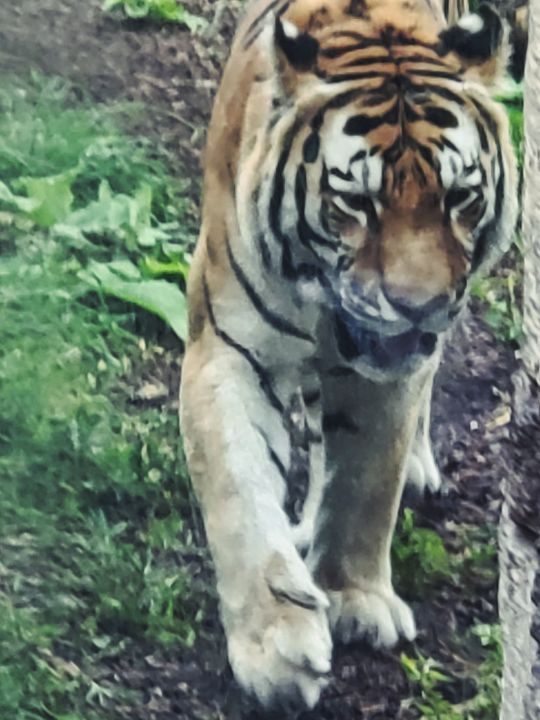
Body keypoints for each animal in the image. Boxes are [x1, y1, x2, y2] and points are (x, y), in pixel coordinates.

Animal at [180, 0, 518, 709]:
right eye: (356, 202)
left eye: (460, 197)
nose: (420, 305)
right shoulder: (224, 350)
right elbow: (239, 493)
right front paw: (275, 648)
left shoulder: (391, 375)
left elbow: (367, 479)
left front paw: (353, 599)